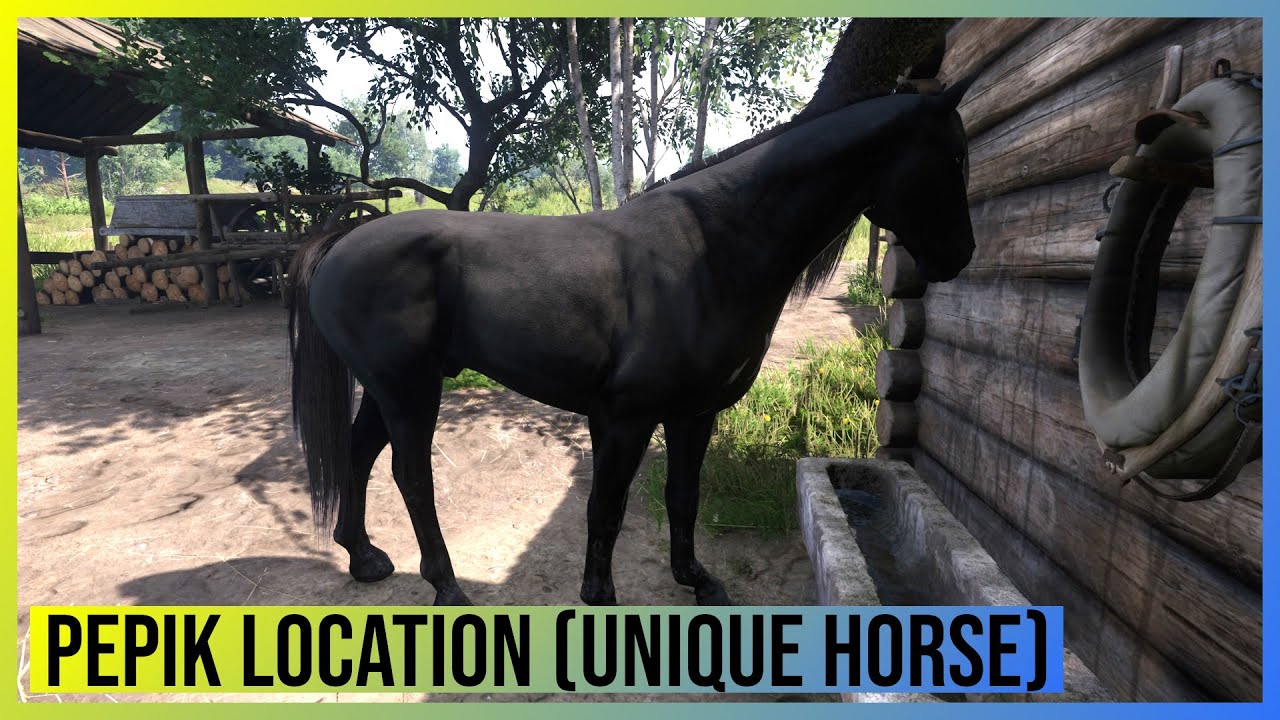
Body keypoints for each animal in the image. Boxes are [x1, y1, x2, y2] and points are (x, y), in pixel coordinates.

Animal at [288, 75, 978, 607]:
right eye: (953, 159)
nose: (961, 256)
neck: (713, 251)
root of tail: (343, 242)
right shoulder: (624, 417)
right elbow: (607, 506)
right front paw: (599, 594)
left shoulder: (694, 415)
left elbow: (683, 496)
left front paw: (696, 579)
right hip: (409, 389)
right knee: (410, 474)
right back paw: (447, 586)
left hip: (390, 389)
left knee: (357, 454)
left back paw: (364, 558)